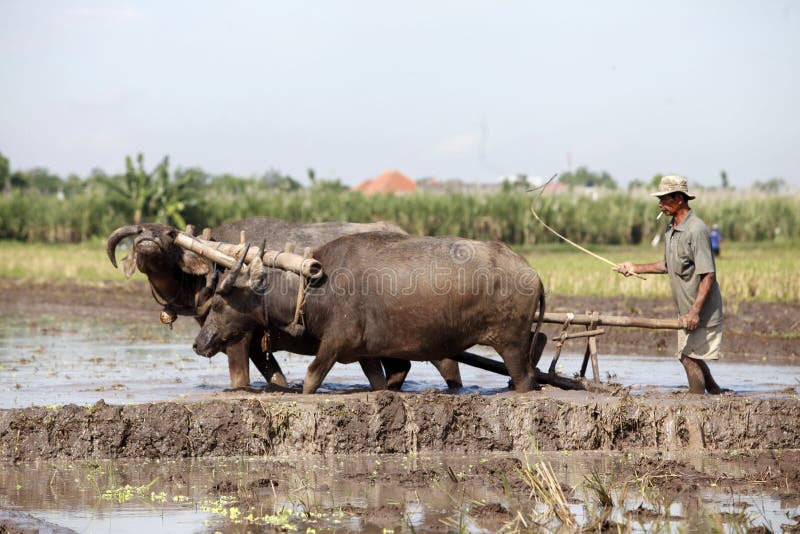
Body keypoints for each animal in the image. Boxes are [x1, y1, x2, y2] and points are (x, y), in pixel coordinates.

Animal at [106, 218, 462, 389]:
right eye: (139, 231)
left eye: (170, 234)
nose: (147, 237)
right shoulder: (256, 344)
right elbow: (275, 378)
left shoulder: (238, 339)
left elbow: (240, 381)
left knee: (447, 364)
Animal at [194, 231, 546, 394]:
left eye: (220, 304)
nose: (199, 343)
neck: (313, 288)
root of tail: (531, 272)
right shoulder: (365, 354)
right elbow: (379, 382)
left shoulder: (333, 344)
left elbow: (311, 379)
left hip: (512, 344)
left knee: (525, 378)